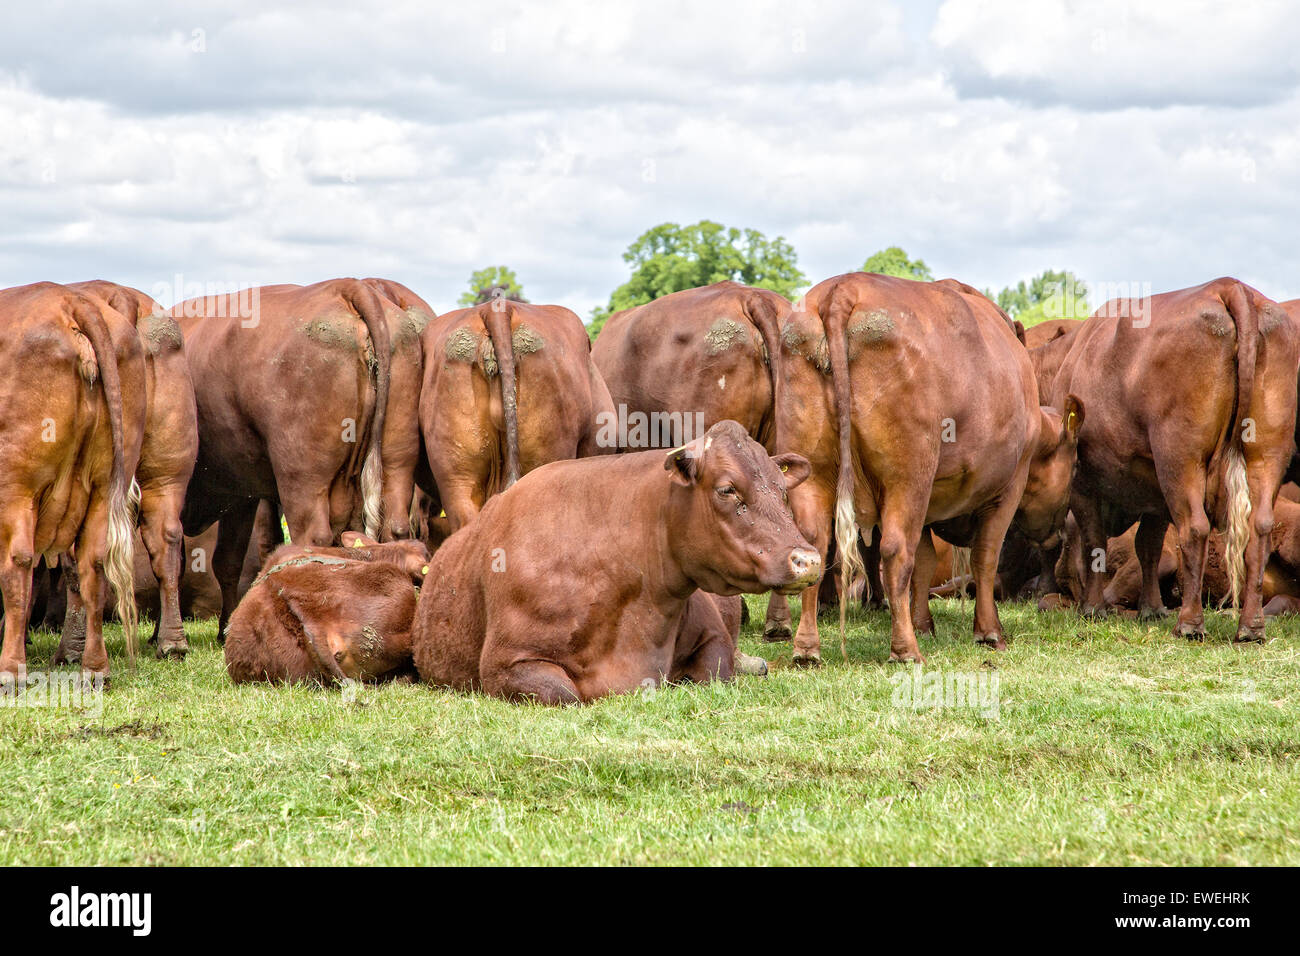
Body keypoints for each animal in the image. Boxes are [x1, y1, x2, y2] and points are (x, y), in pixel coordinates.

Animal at [0, 283, 146, 683]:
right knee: (93, 564)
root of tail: (71, 299)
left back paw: (10, 670)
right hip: (103, 485)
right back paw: (94, 669)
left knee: (18, 565)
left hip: (17, 486)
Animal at [175, 278, 432, 638]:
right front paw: (225, 627)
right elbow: (226, 561)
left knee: (312, 540)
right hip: (396, 463)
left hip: (302, 483)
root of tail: (348, 287)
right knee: (394, 530)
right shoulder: (242, 494)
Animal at [410, 420, 819, 703]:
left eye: (783, 492)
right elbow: (565, 694)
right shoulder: (507, 662)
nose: (808, 559)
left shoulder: (712, 633)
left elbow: (717, 669)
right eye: (727, 489)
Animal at [774, 273, 1083, 664]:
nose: (1057, 533)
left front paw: (924, 624)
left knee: (814, 546)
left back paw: (806, 649)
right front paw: (989, 631)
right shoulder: (1006, 491)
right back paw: (906, 650)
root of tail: (843, 289)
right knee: (895, 552)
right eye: (1074, 466)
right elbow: (984, 558)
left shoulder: (928, 506)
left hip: (812, 473)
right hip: (907, 479)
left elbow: (923, 563)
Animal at [1043, 278, 1299, 642]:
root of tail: (1228, 287)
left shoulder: (1082, 483)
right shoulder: (1153, 491)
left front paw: (1092, 609)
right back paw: (1250, 626)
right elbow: (1147, 545)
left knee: (1194, 529)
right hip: (1266, 454)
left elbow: (1094, 542)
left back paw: (1189, 623)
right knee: (1258, 528)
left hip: (1181, 459)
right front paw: (1151, 609)